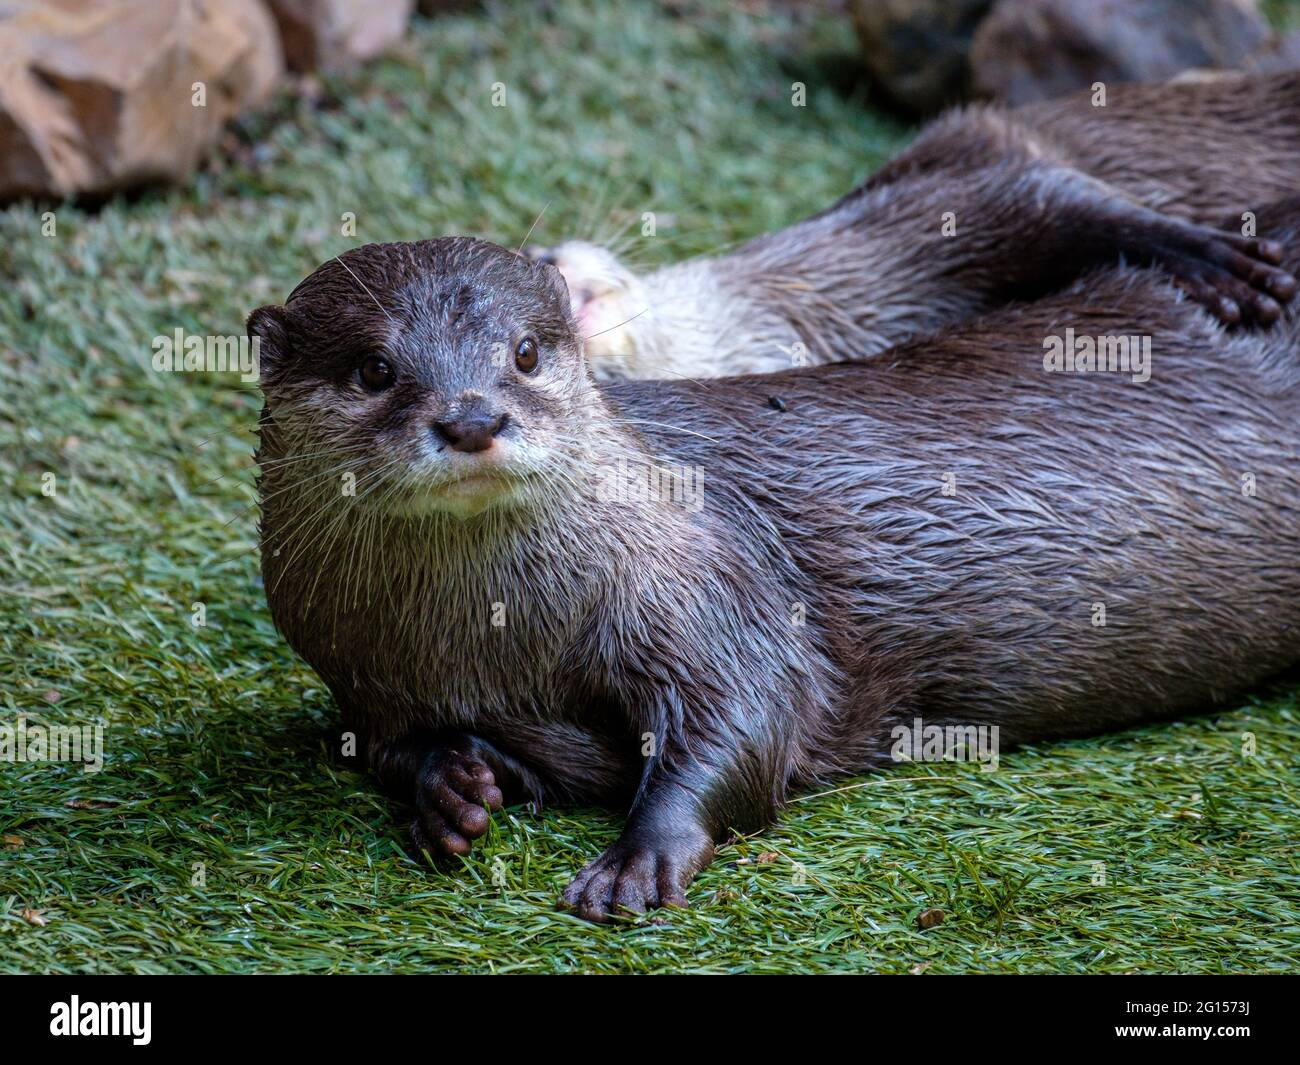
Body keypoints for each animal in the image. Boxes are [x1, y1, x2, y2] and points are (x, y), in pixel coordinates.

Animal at [249, 199, 1300, 921]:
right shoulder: (366, 679)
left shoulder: (711, 589)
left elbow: (747, 719)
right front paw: (455, 789)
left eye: (525, 354)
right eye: (375, 368)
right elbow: (392, 749)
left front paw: (638, 858)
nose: (471, 417)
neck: (495, 641)